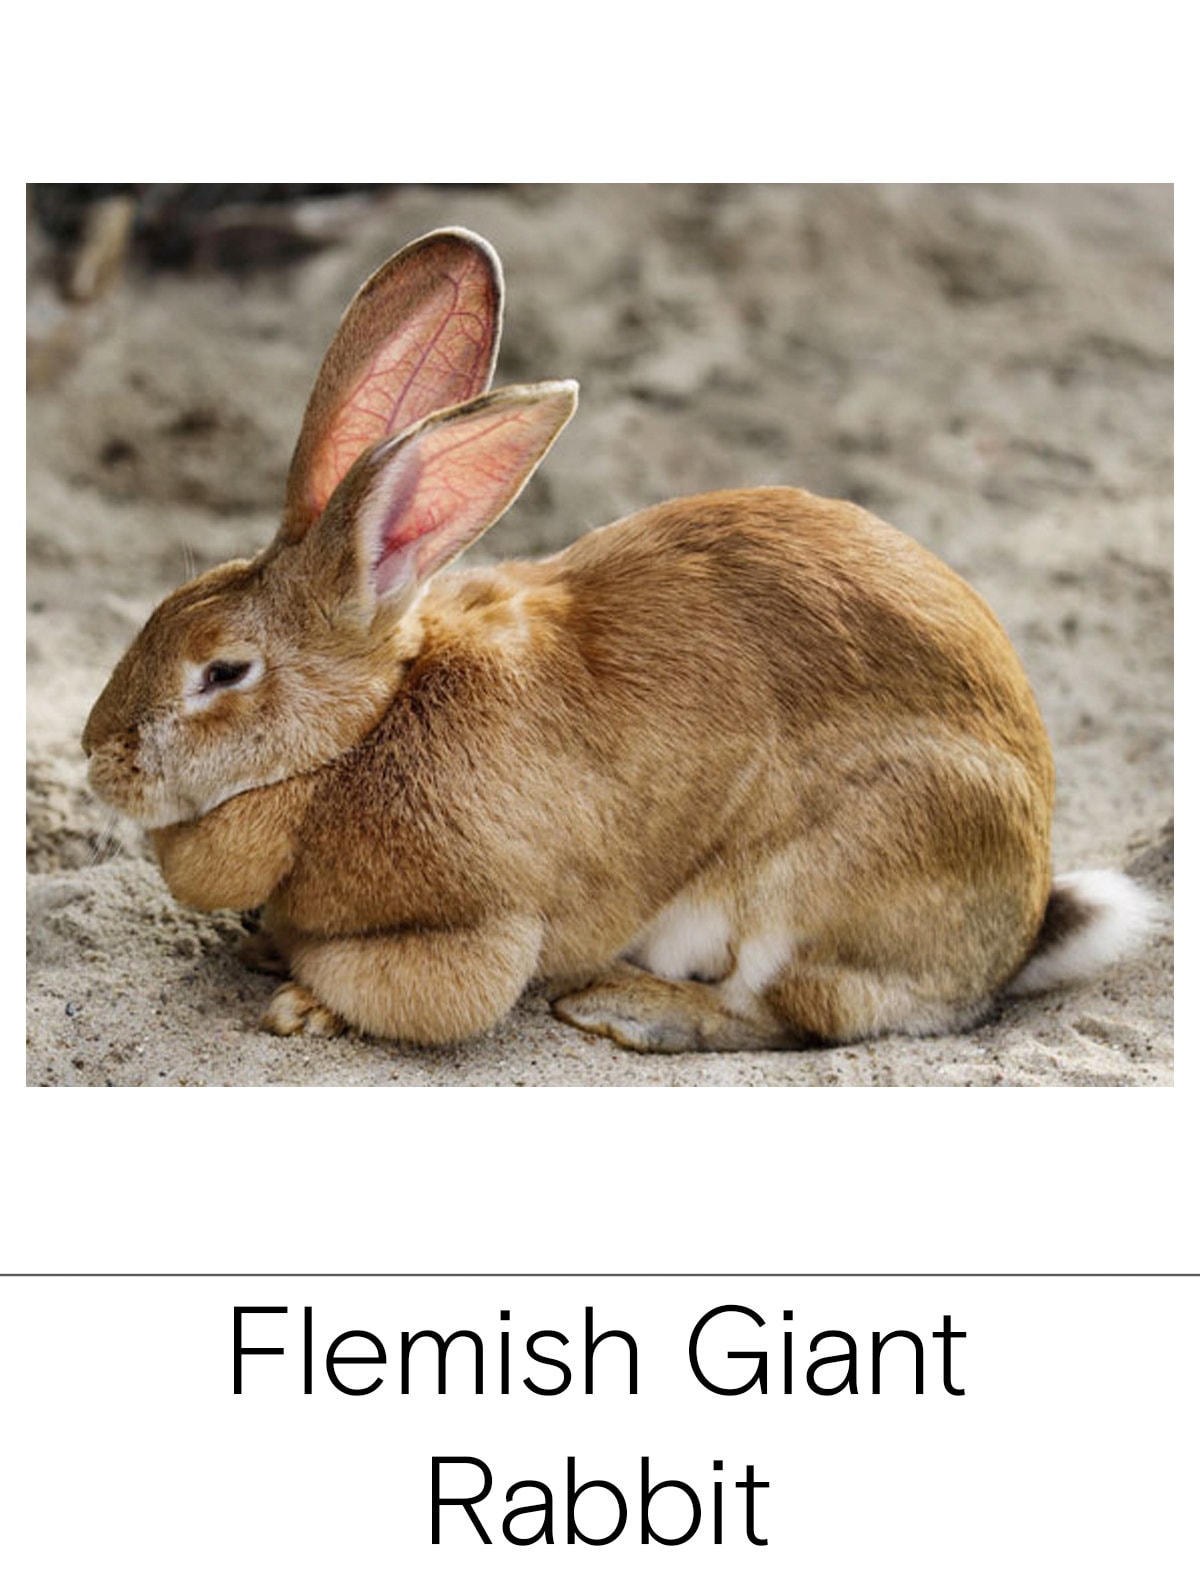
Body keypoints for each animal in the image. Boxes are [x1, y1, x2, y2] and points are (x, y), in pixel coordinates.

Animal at [82, 226, 1159, 1052]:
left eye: (224, 670)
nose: (100, 761)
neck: (354, 741)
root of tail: (1018, 928)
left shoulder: (480, 932)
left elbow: (419, 991)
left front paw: (303, 1002)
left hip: (833, 870)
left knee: (792, 1010)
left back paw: (631, 1010)